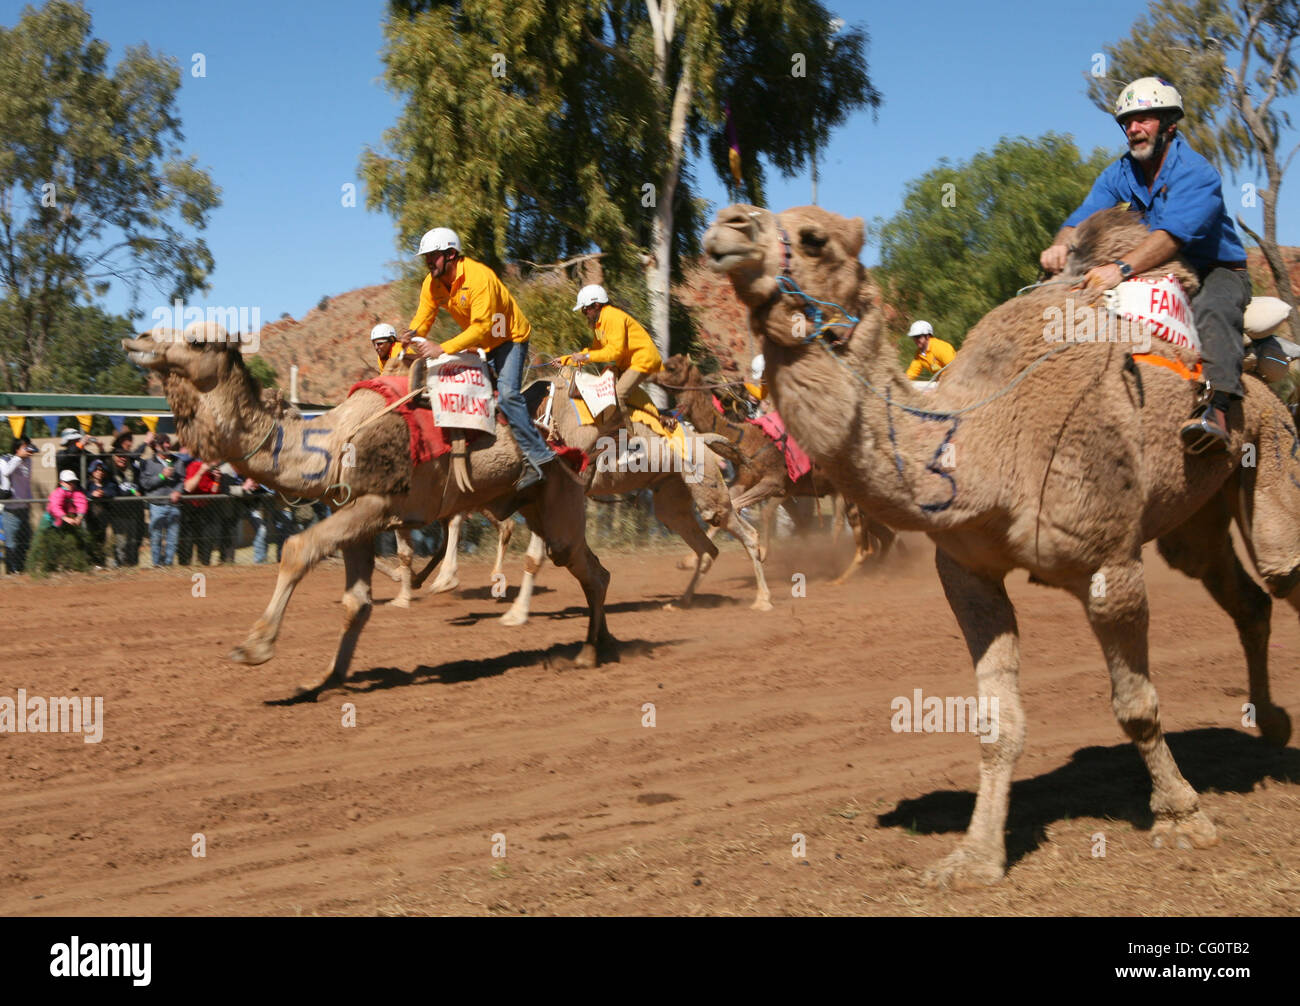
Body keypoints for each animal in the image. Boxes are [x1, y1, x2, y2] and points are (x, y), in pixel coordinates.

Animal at [122, 328, 613, 696]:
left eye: (197, 340)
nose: (138, 338)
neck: (335, 441)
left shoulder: (377, 503)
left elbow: (297, 549)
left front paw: (254, 647)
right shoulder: (355, 514)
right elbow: (356, 602)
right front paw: (326, 680)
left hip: (560, 499)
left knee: (584, 566)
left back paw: (588, 651)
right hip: (533, 506)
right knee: (594, 568)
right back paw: (602, 643)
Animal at [654, 353, 896, 581]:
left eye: (671, 367)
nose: (653, 375)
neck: (748, 438)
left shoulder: (777, 483)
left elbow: (759, 511)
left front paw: (761, 551)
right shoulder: (747, 481)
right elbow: (731, 508)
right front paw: (688, 561)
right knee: (882, 533)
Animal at [703, 202, 1300, 887]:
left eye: (813, 238)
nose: (727, 227)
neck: (987, 441)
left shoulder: (1110, 566)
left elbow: (1135, 705)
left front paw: (1182, 818)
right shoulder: (968, 573)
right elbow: (996, 722)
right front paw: (974, 859)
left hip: (1268, 438)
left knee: (1282, 572)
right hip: (1192, 519)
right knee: (1248, 598)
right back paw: (1271, 723)